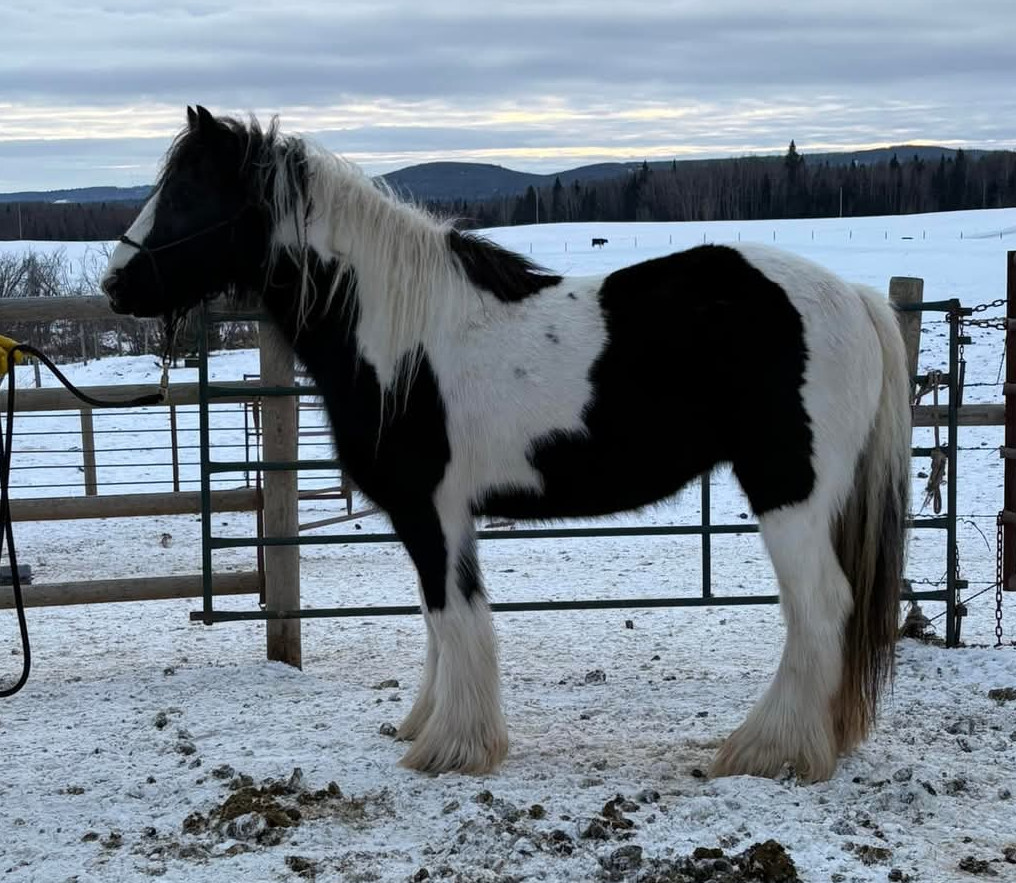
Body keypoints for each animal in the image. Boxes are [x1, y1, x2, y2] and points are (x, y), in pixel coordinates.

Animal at [102, 107, 911, 781]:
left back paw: (769, 750)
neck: (398, 336)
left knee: (820, 607)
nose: (115, 283)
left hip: (788, 490)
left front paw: (453, 748)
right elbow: (440, 618)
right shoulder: (440, 515)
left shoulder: (431, 510)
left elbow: (455, 615)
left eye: (189, 192)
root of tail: (853, 297)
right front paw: (426, 724)